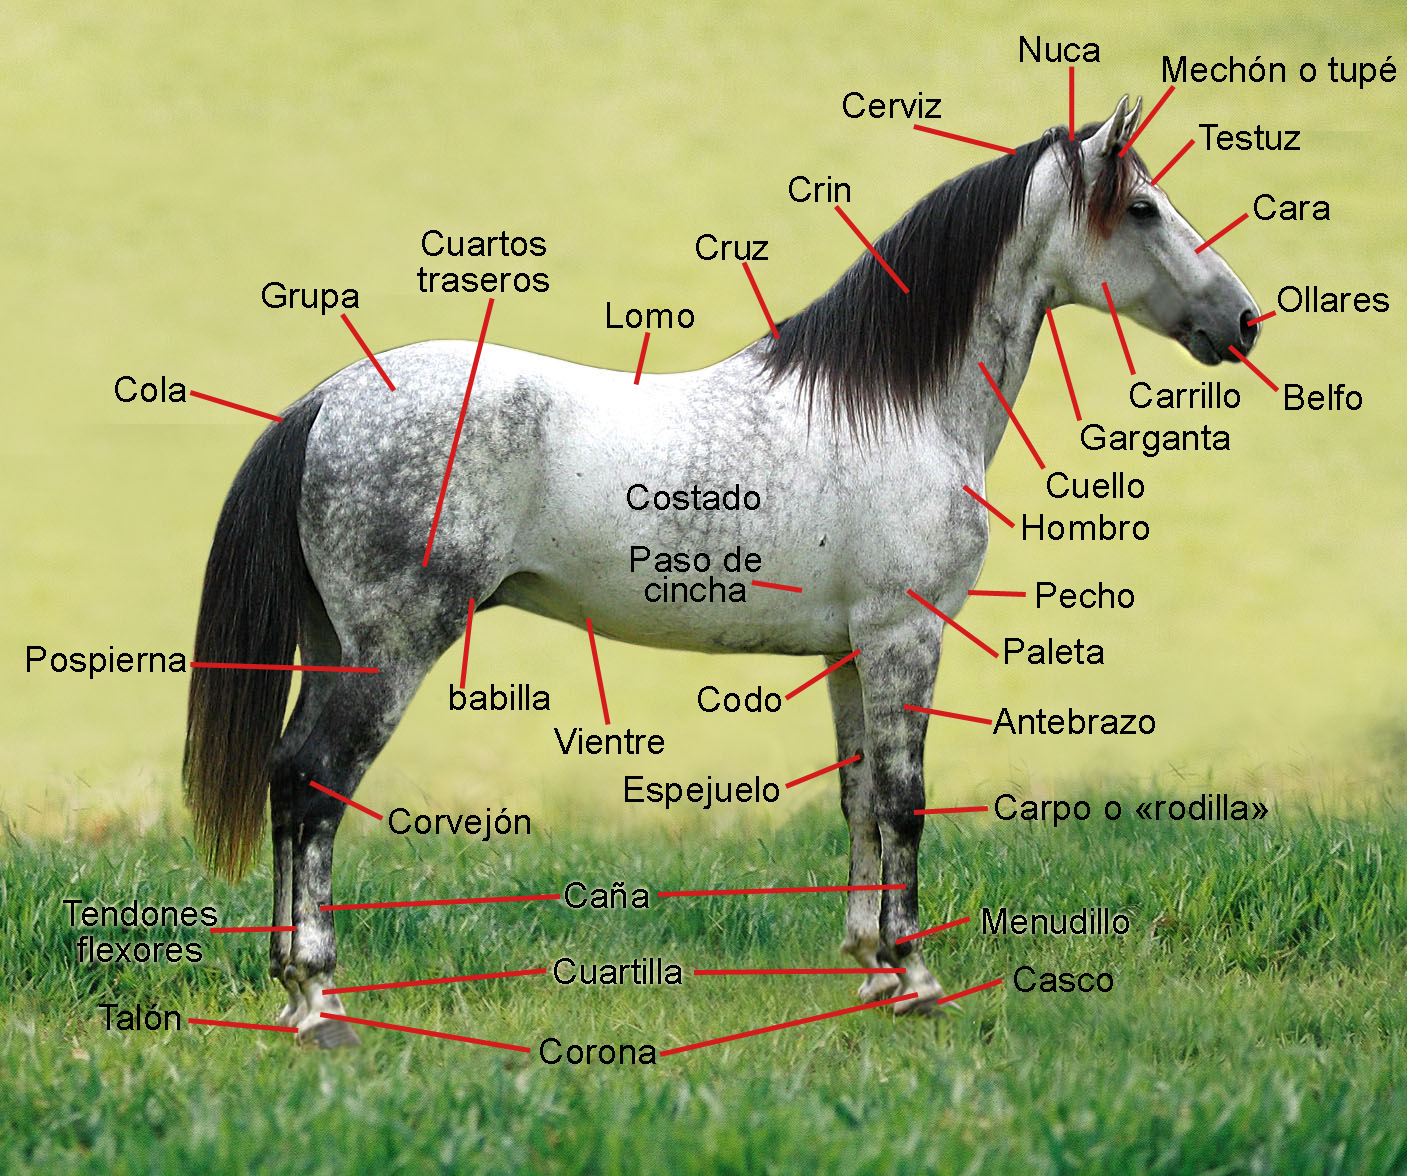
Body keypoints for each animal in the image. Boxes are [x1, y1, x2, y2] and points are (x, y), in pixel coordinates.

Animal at [184, 97, 1260, 1047]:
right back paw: (320, 1000)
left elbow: (859, 798)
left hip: (336, 642)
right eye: (1143, 208)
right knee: (316, 785)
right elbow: (905, 802)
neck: (898, 407)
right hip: (395, 648)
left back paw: (290, 988)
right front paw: (916, 980)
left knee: (285, 776)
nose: (1246, 321)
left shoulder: (849, 650)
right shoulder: (904, 635)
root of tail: (329, 399)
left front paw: (871, 971)